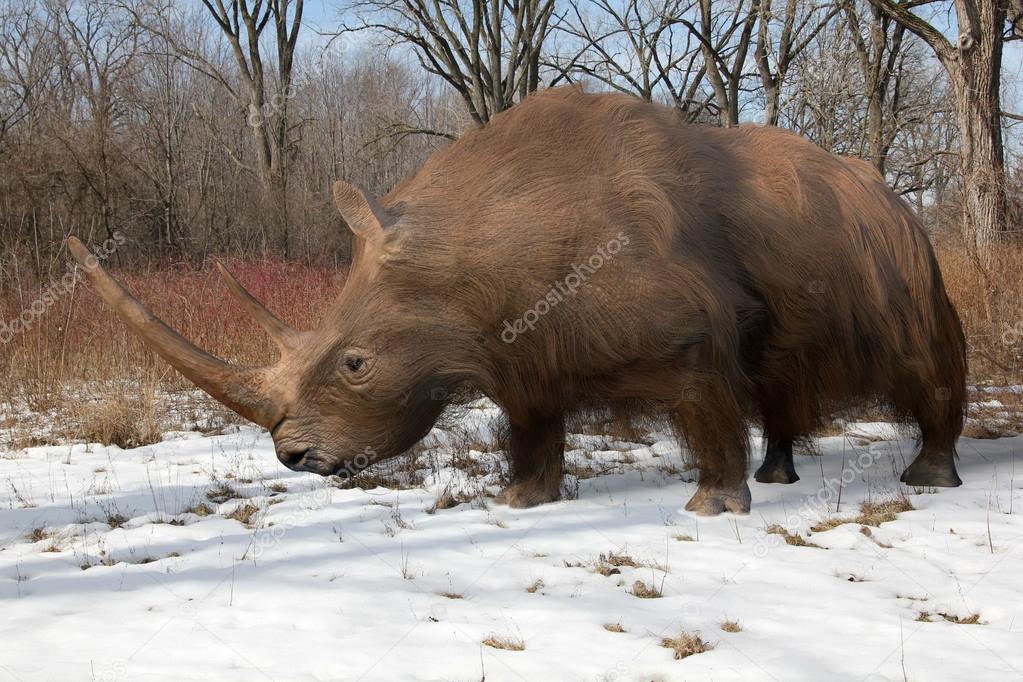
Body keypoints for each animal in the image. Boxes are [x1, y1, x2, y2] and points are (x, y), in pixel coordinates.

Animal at [68, 87, 966, 515]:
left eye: (355, 363)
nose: (293, 459)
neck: (465, 254)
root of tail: (890, 193)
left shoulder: (689, 334)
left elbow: (707, 403)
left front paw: (712, 507)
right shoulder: (517, 348)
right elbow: (532, 429)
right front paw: (519, 500)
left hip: (901, 253)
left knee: (920, 355)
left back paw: (926, 478)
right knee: (780, 374)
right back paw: (779, 473)